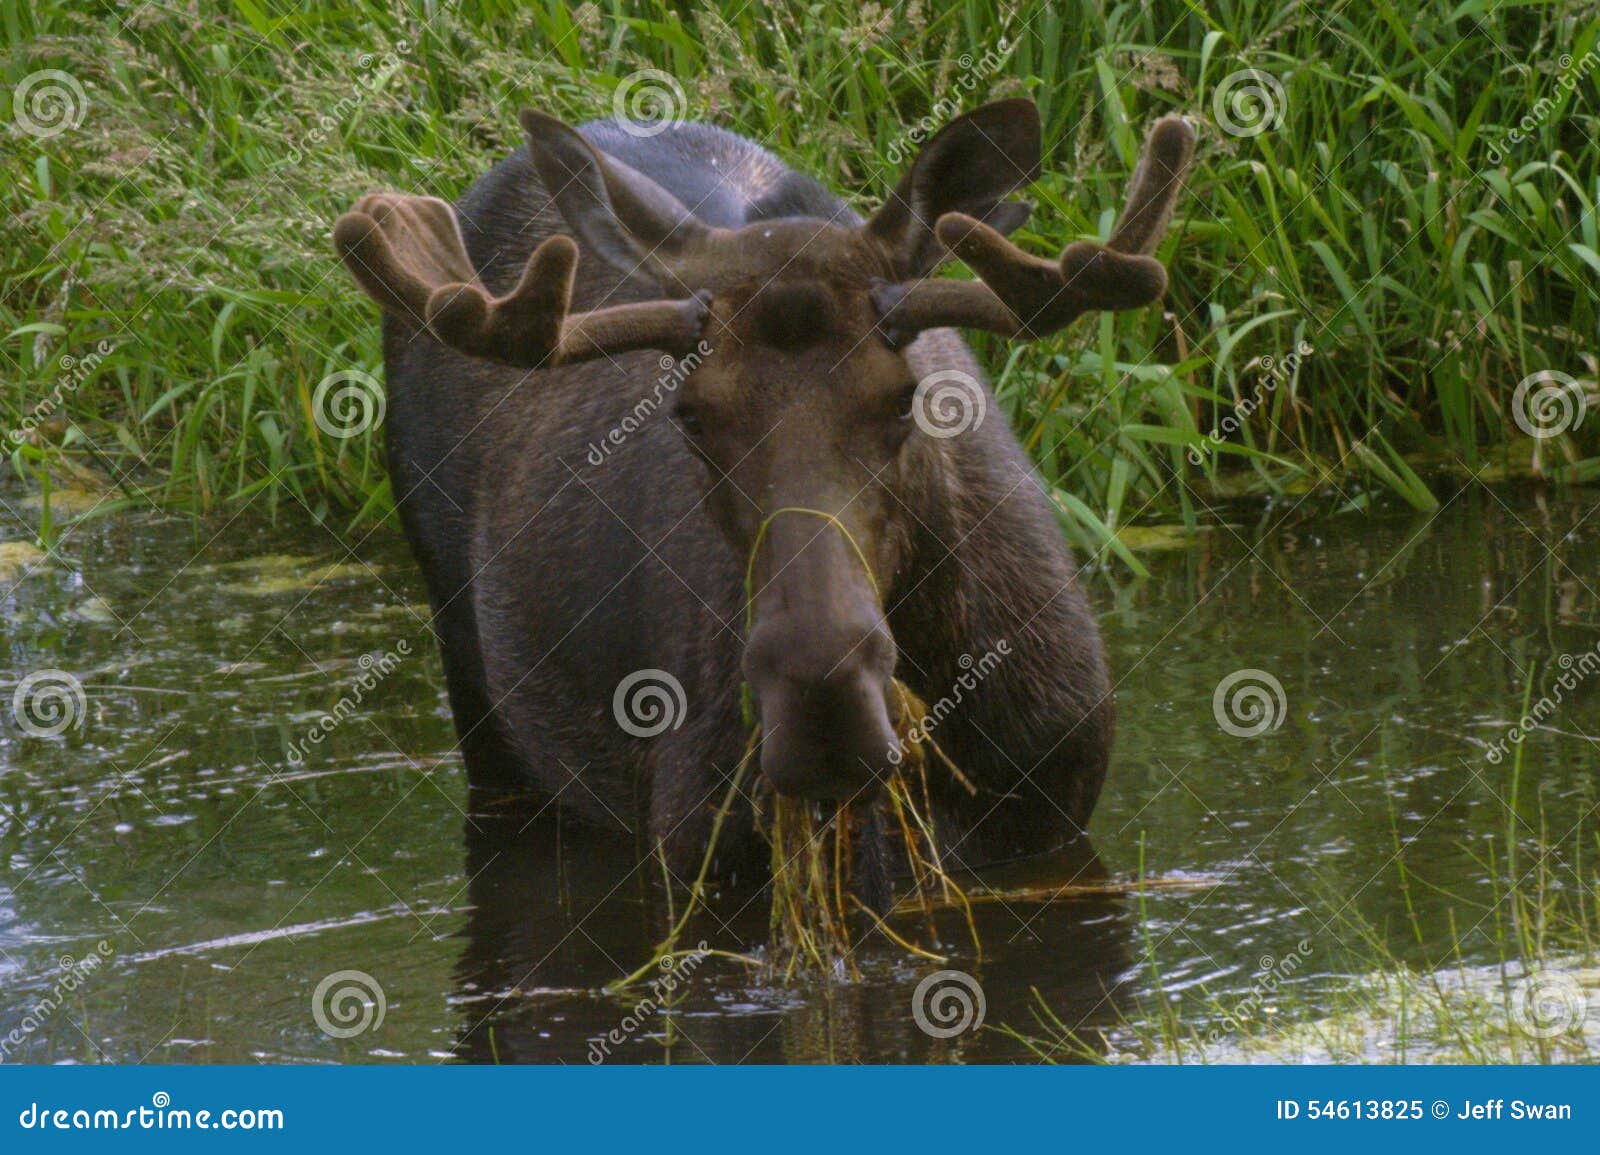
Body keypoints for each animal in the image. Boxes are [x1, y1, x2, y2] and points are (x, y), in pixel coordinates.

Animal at [333, 98, 1194, 886]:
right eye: (688, 412)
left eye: (906, 397)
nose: (822, 707)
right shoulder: (695, 849)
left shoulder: (1048, 826)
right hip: (480, 704)